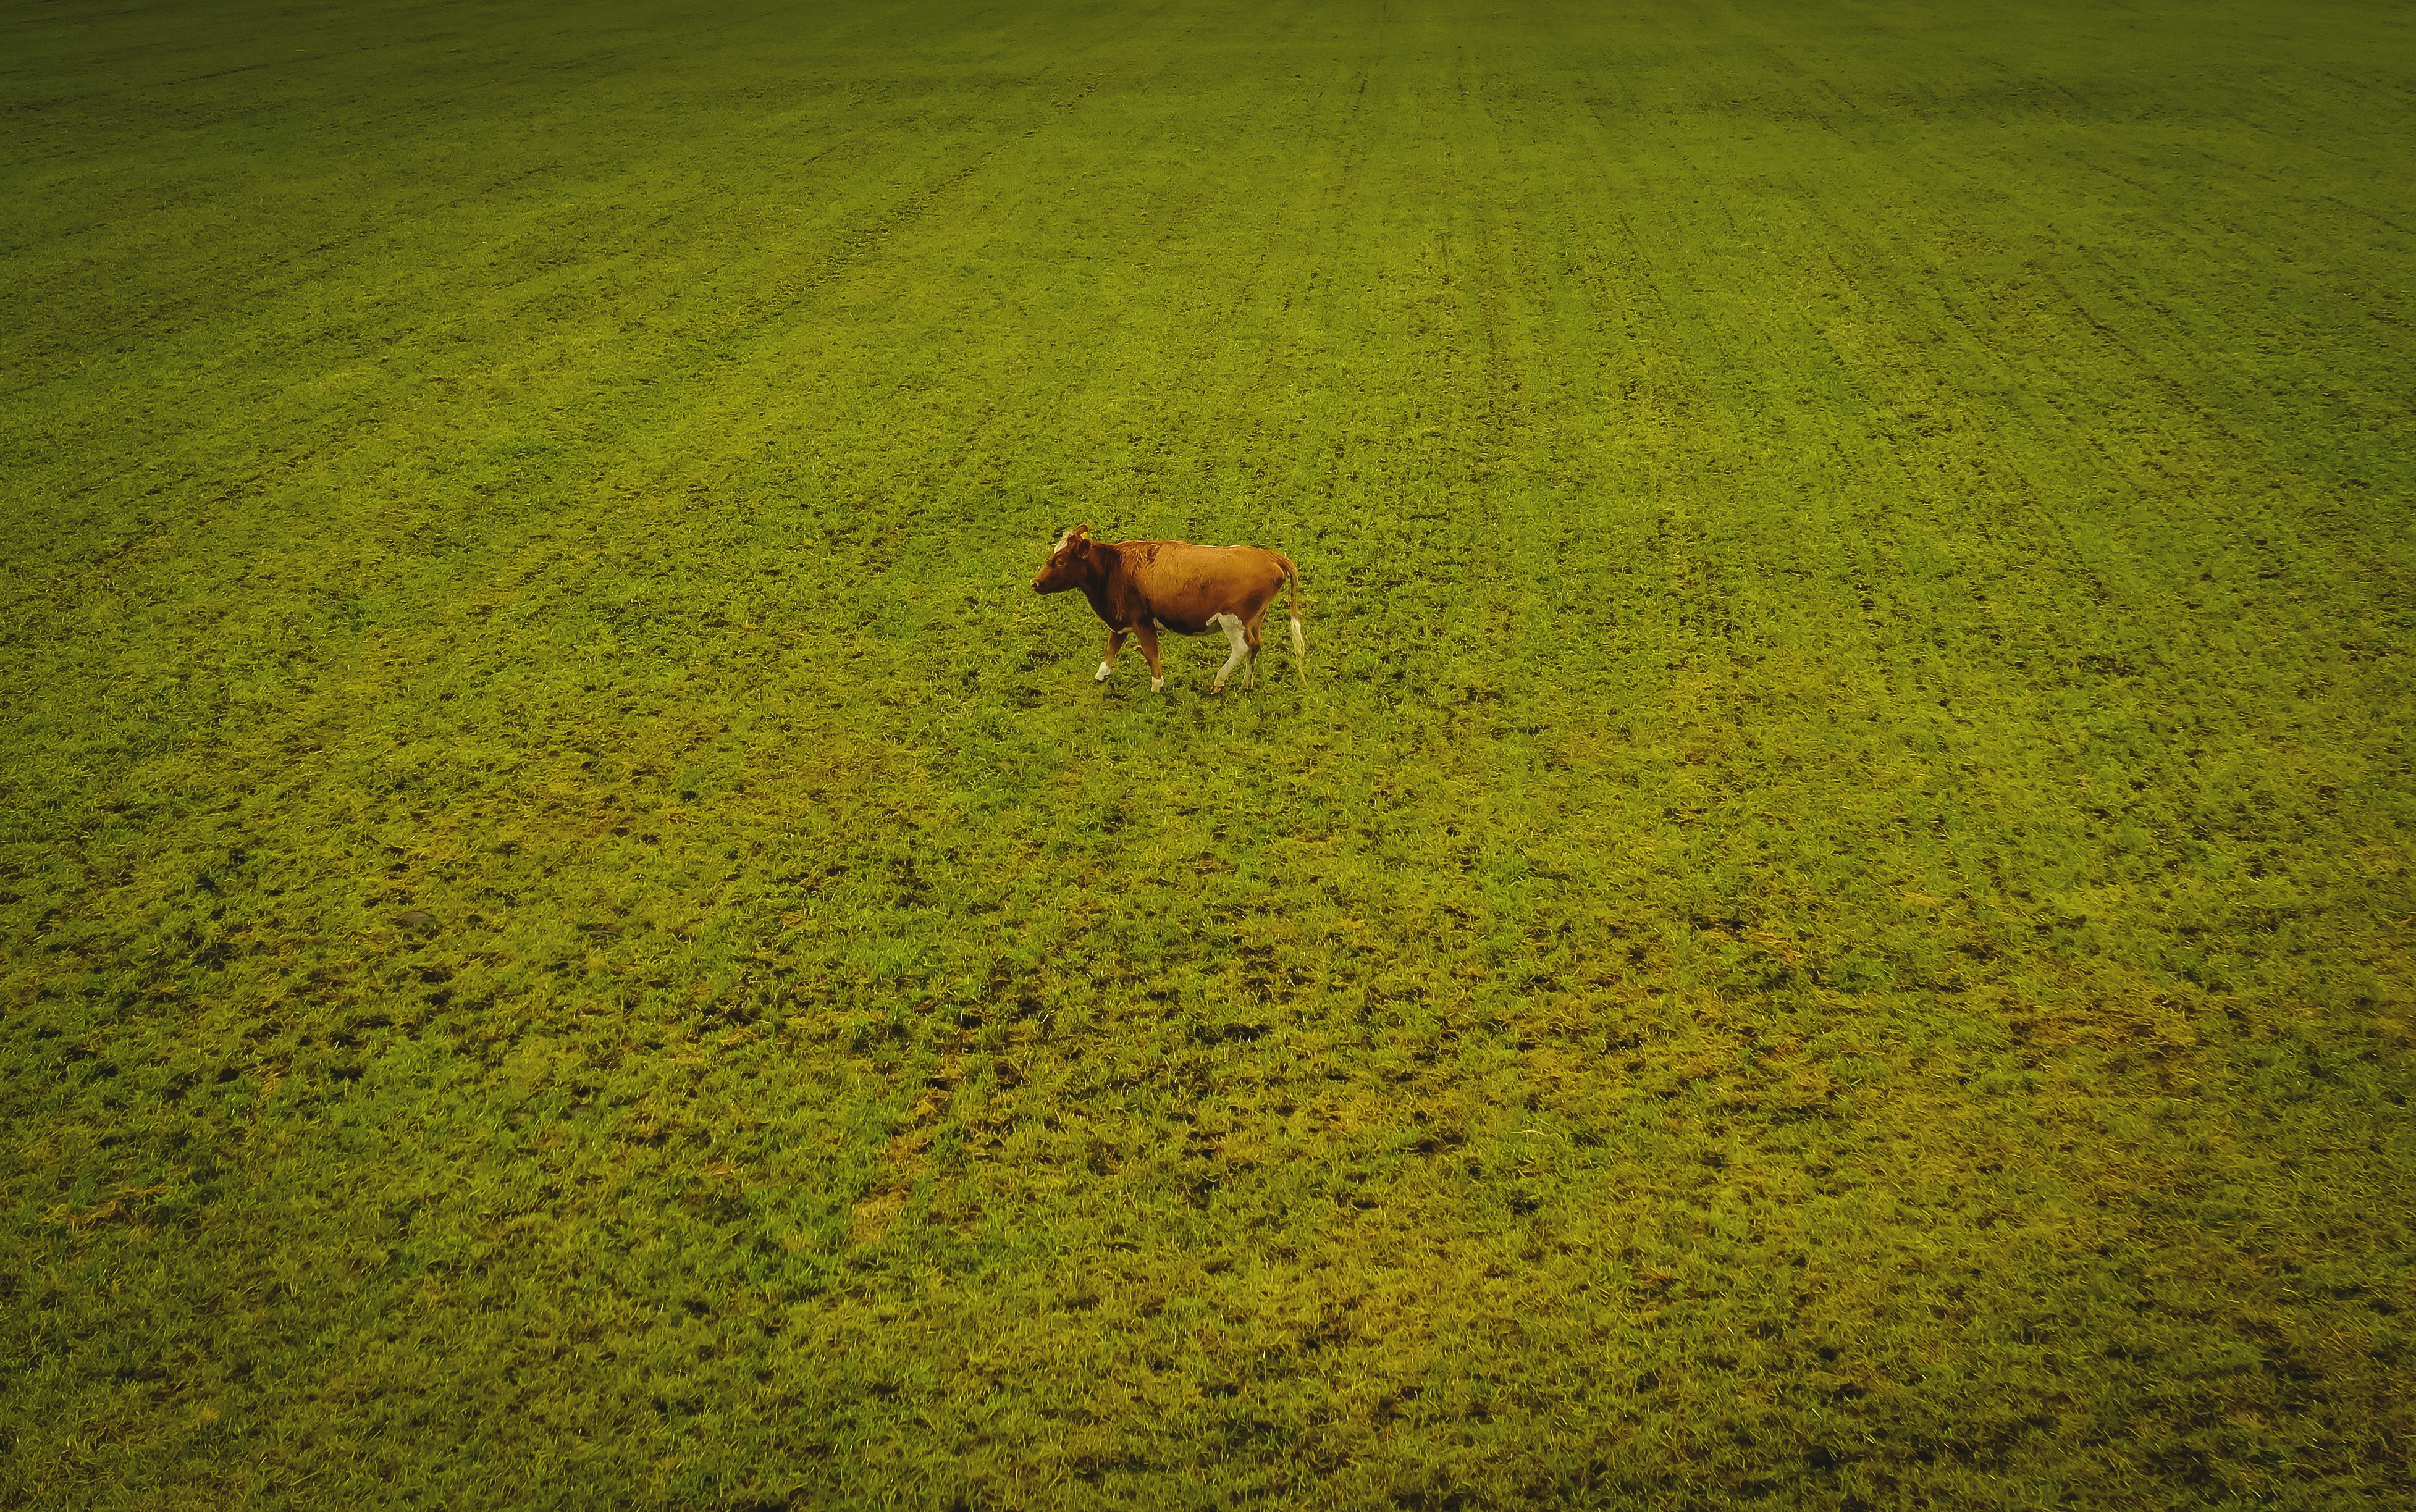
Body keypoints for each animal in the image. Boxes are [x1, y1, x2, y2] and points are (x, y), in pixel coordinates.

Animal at [1030, 525, 1305, 693]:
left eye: (1060, 561)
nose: (1035, 583)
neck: (1116, 567)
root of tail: (1271, 556)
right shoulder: (1120, 621)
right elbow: (1112, 648)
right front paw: (1101, 675)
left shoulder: (1141, 621)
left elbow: (1151, 653)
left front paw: (1157, 685)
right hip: (1255, 619)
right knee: (1256, 647)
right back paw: (1246, 684)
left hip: (1233, 621)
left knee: (1242, 648)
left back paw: (1219, 681)